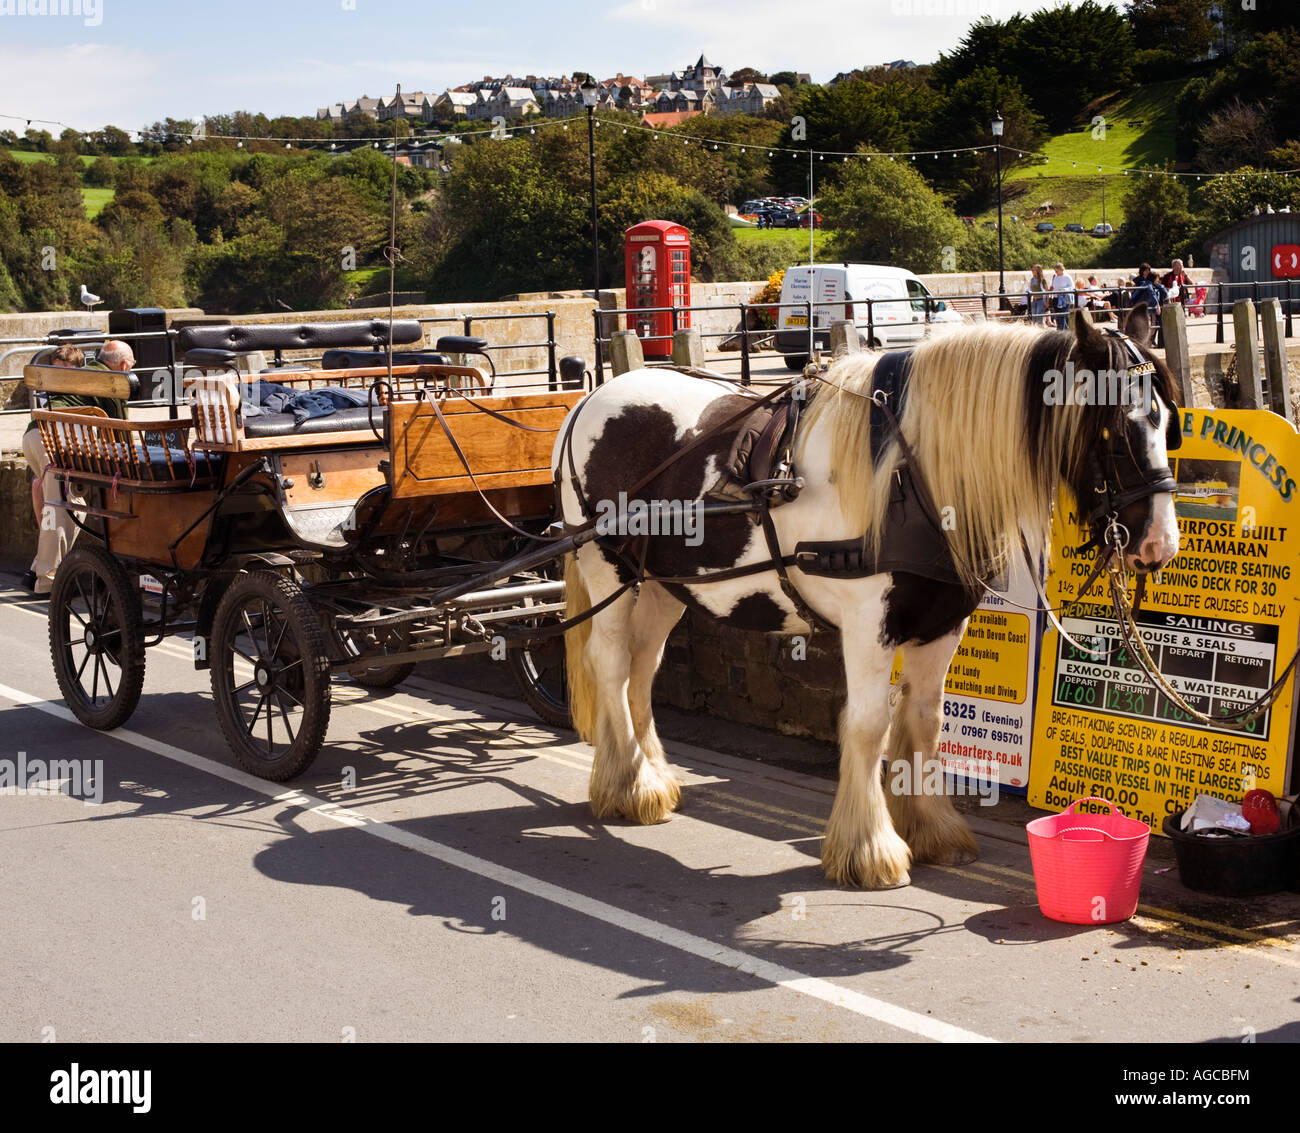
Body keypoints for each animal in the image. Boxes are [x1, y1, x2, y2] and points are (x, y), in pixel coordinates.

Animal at [554, 308, 1181, 889]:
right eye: (1118, 429)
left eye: (1170, 424)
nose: (1159, 544)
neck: (911, 474)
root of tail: (590, 400)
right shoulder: (867, 626)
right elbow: (868, 724)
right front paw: (870, 850)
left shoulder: (942, 623)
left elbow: (925, 719)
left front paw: (932, 830)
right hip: (607, 569)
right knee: (610, 664)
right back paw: (630, 789)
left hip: (664, 584)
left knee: (642, 667)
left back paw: (651, 776)